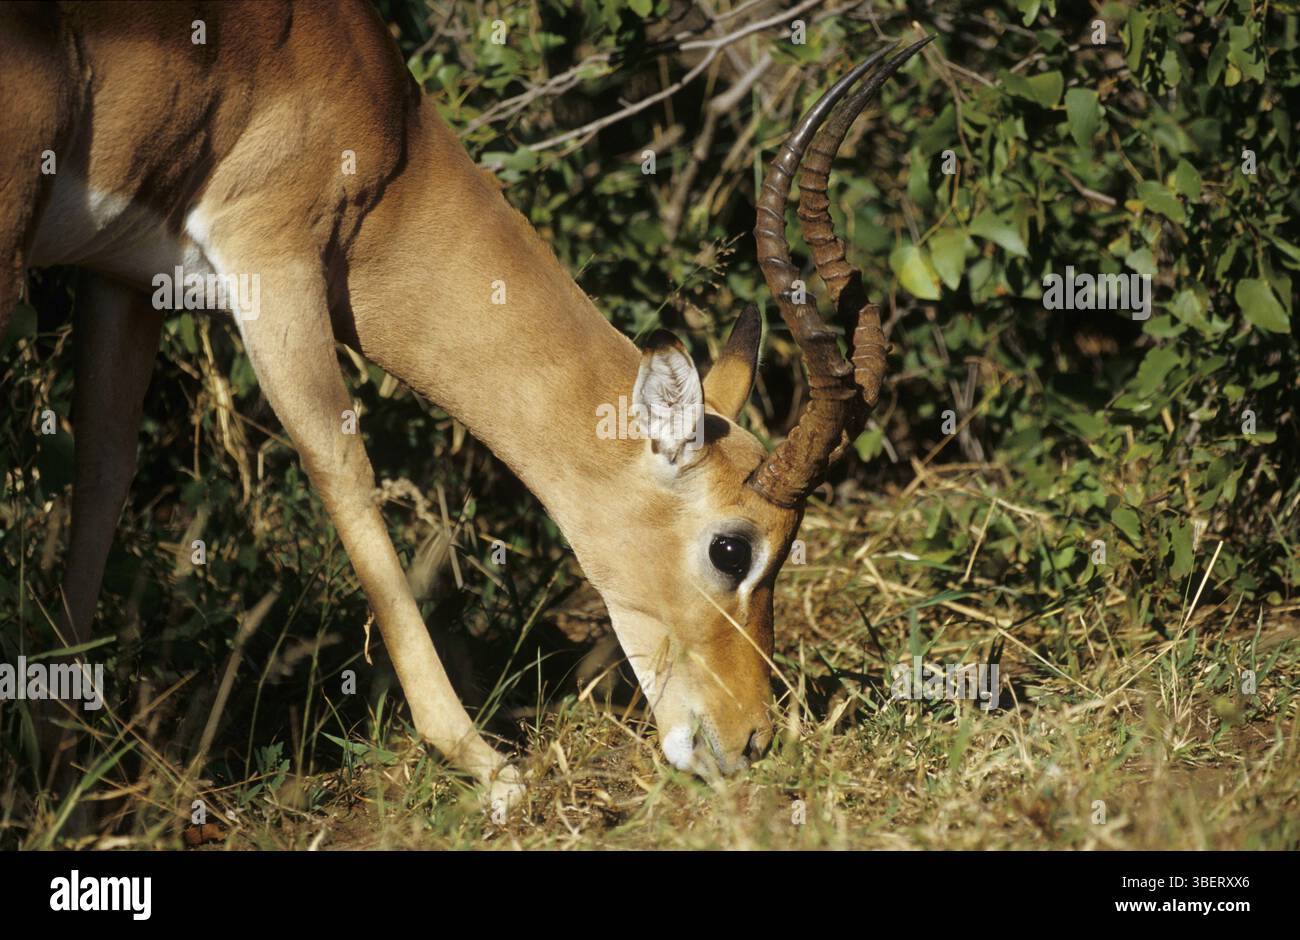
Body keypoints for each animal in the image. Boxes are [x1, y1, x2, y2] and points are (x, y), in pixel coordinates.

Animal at [0, 1, 929, 808]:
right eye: (731, 549)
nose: (750, 742)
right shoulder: (274, 255)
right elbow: (345, 472)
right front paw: (490, 768)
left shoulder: (125, 278)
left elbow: (101, 476)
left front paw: (58, 769)